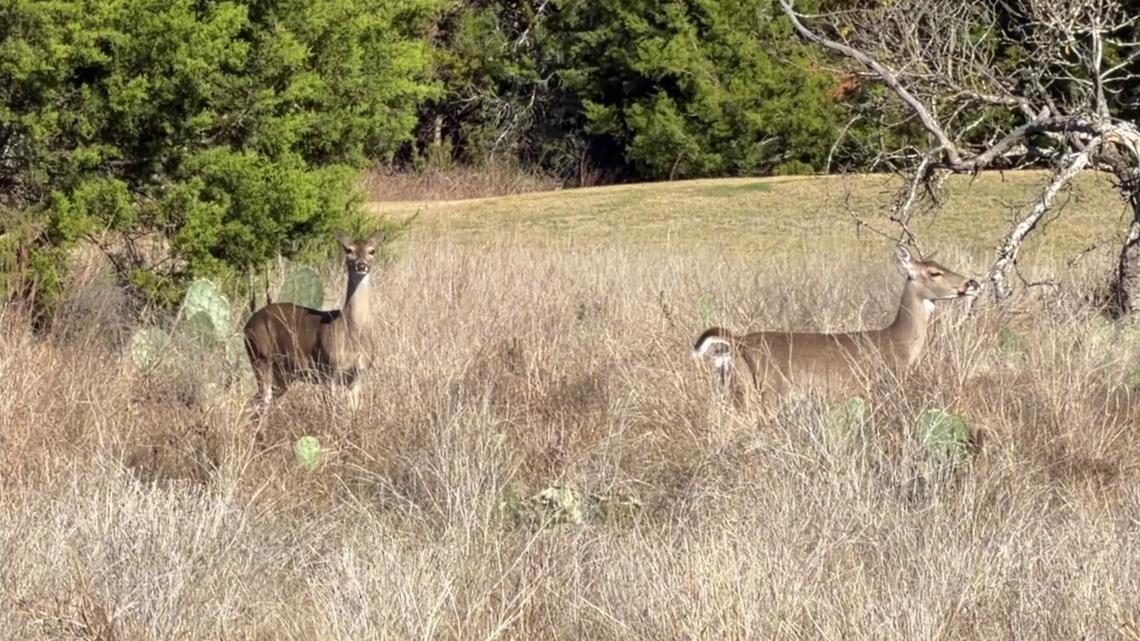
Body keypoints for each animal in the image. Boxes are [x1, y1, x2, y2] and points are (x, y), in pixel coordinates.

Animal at [243, 229, 385, 413]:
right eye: (349, 250)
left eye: (372, 251)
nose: (361, 265)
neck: (351, 332)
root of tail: (247, 326)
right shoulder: (328, 369)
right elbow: (331, 408)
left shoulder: (359, 374)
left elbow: (355, 410)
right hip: (260, 355)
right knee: (262, 399)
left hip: (283, 373)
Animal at [692, 245, 980, 407]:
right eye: (934, 273)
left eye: (940, 266)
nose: (972, 283)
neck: (897, 343)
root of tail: (738, 341)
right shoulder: (882, 385)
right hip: (767, 391)